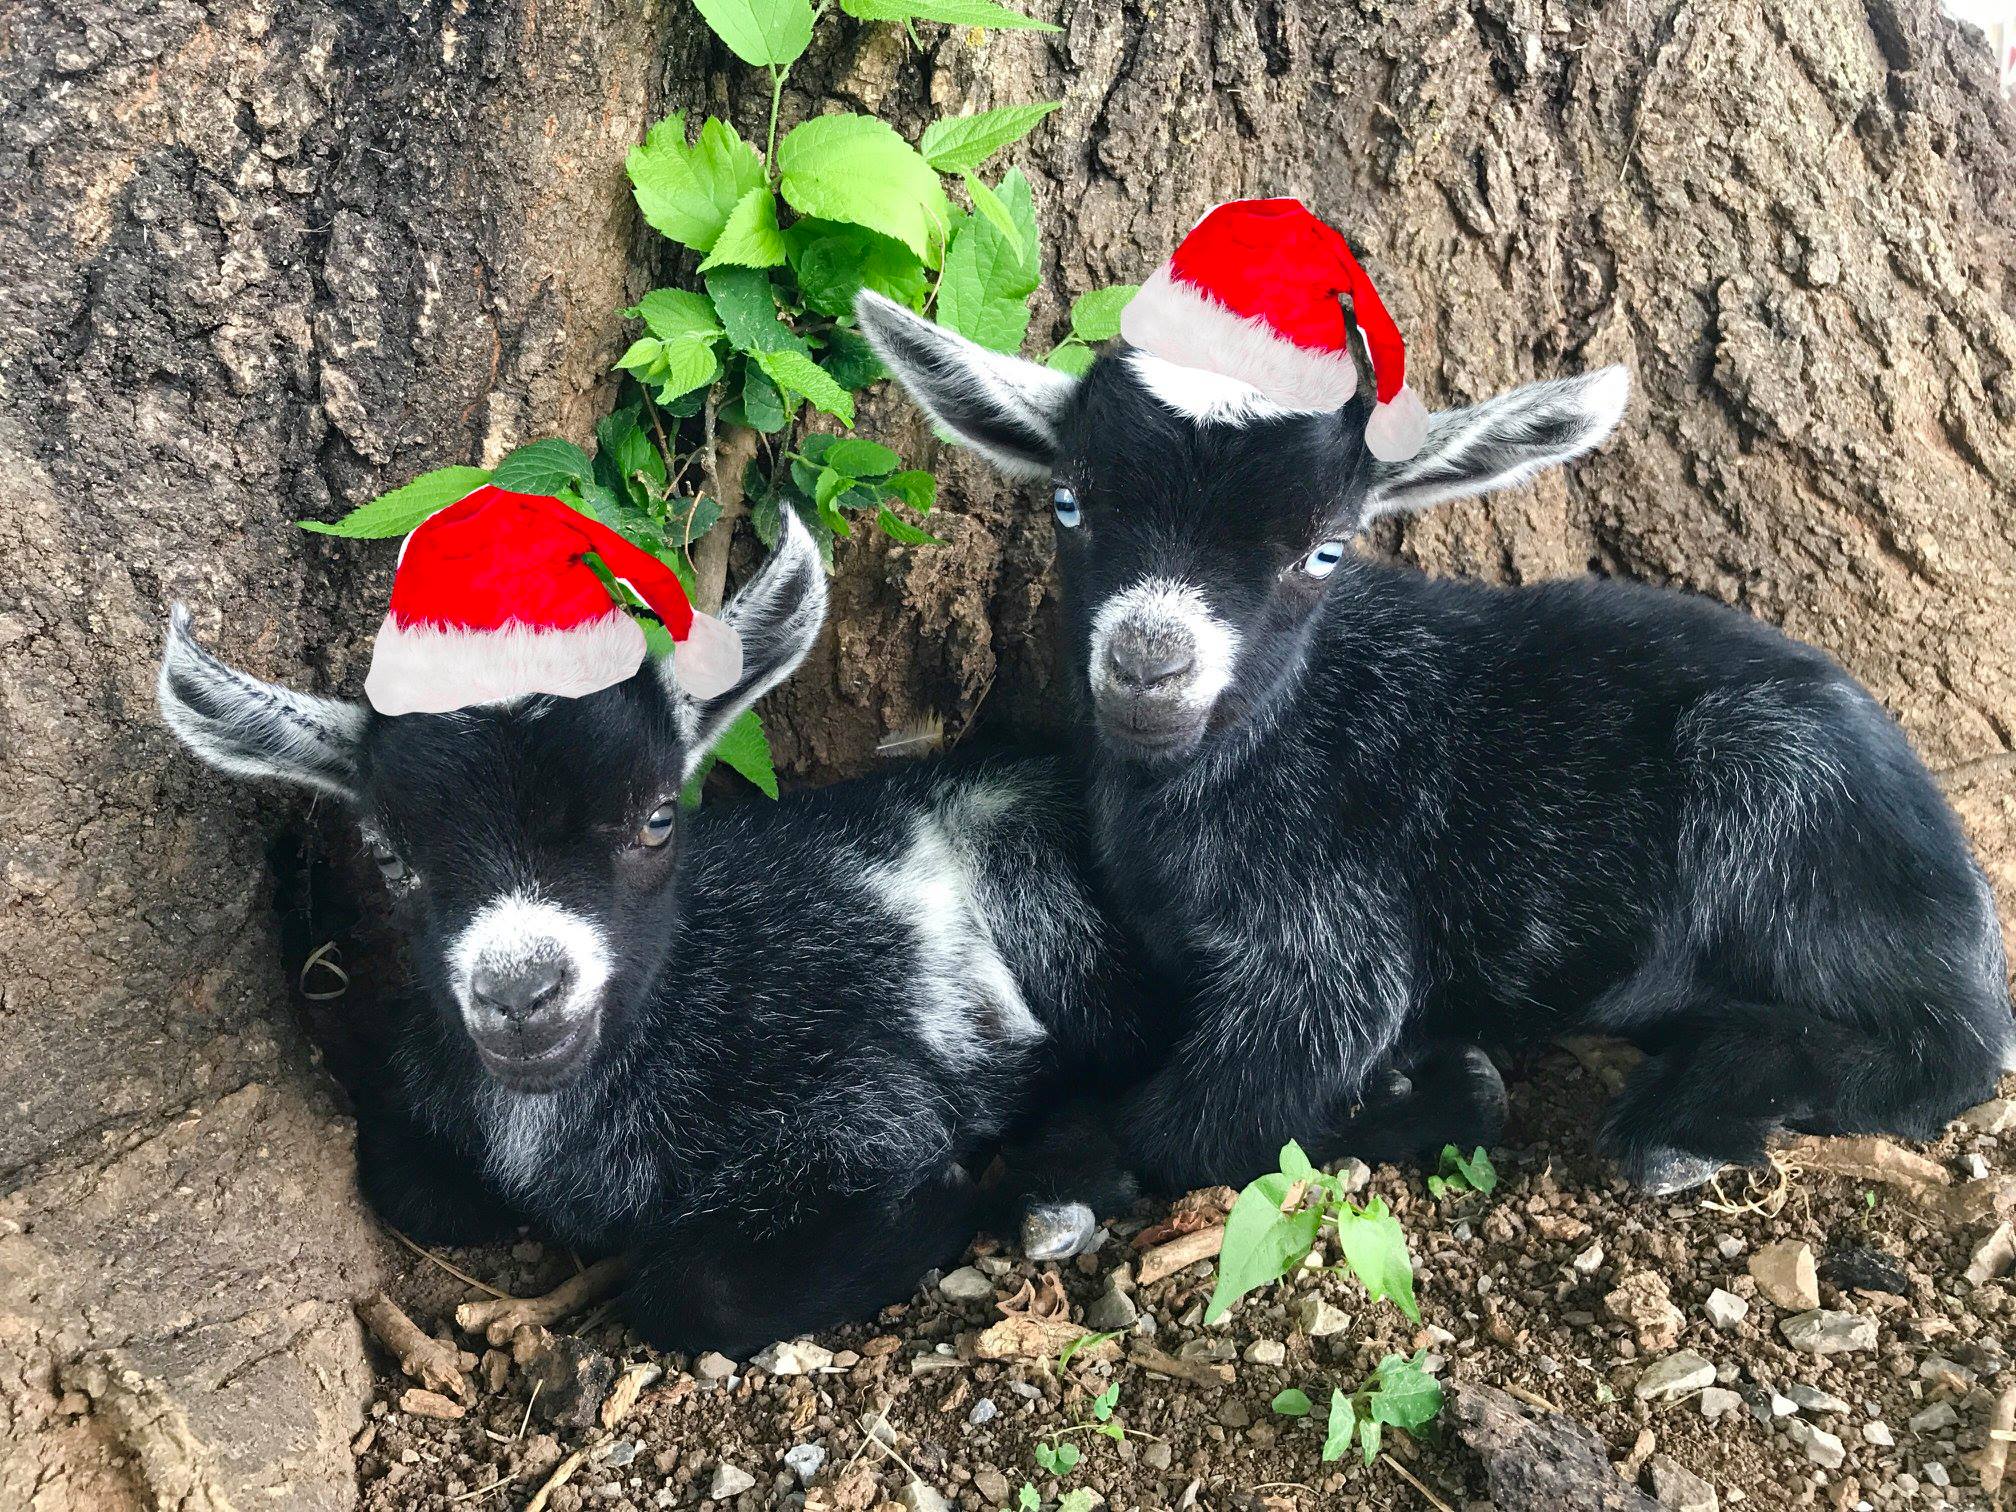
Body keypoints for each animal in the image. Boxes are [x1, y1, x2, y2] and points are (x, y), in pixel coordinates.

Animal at [158, 510, 1144, 1351]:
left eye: (660, 817)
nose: (522, 993)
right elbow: (407, 1179)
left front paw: (940, 1203)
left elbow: (697, 1290)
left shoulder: (863, 1105)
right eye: (389, 856)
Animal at [859, 289, 2015, 1198]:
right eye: (1069, 501)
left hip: (1780, 785)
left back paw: (1685, 1119)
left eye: (1325, 550)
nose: (1149, 665)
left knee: (1954, 1049)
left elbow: (1201, 1126)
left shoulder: (1332, 947)